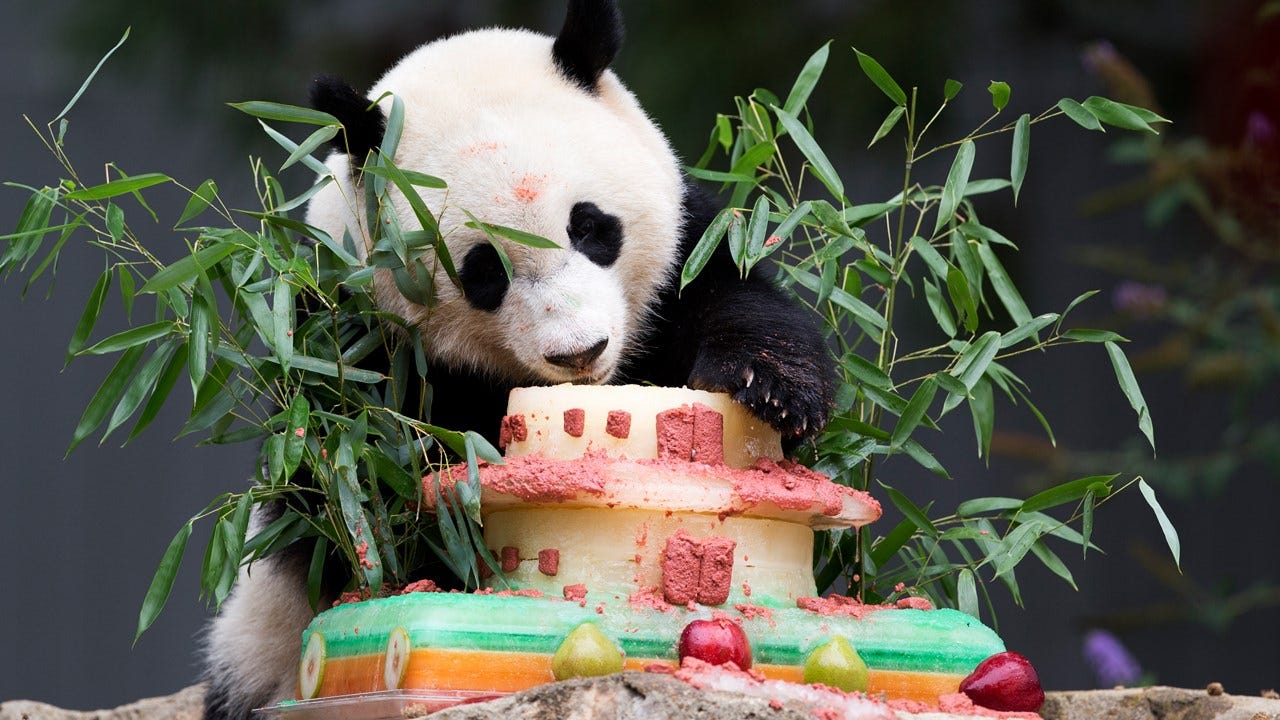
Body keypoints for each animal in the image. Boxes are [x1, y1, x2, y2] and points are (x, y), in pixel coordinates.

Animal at [202, 1, 834, 718]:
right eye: (484, 271)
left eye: (590, 227)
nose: (581, 352)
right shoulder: (351, 348)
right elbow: (368, 503)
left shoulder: (683, 255)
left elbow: (731, 294)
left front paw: (774, 385)